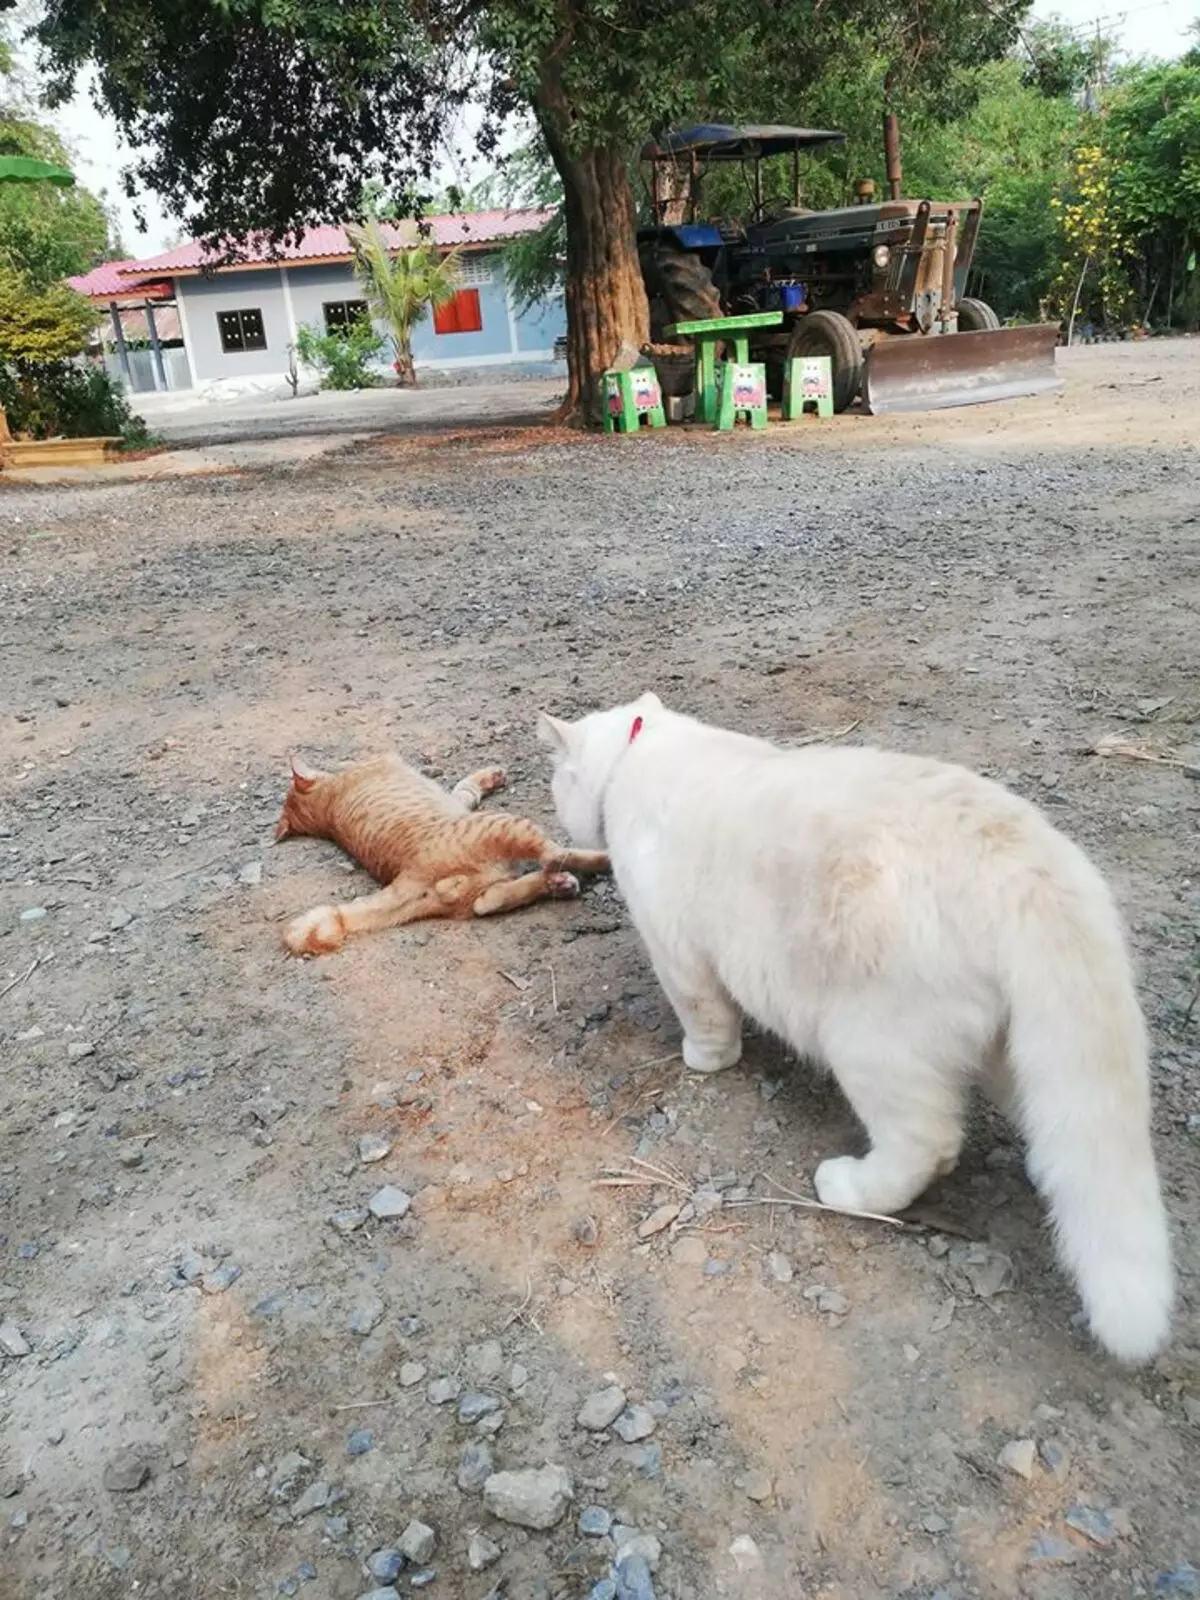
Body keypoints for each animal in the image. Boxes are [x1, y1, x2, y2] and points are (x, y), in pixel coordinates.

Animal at [273, 755, 611, 953]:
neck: (324, 804)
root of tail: (411, 875)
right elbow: (466, 786)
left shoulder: (459, 799)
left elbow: (466, 785)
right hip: (509, 824)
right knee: (556, 853)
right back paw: (600, 860)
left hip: (485, 888)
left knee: (491, 901)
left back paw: (558, 884)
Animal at [540, 691, 1177, 1363]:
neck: (641, 750)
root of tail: (1031, 865)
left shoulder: (678, 956)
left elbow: (708, 1021)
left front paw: (704, 1058)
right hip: (1015, 1047)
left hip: (869, 1045)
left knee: (928, 1143)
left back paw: (850, 1187)